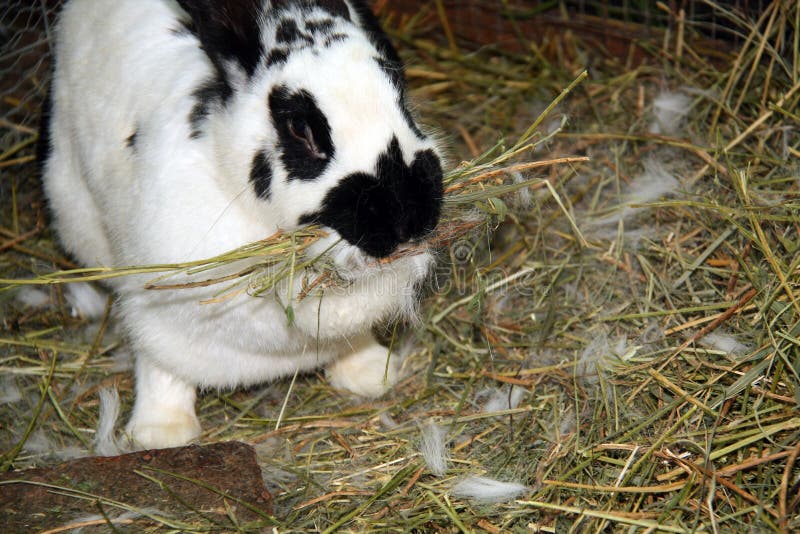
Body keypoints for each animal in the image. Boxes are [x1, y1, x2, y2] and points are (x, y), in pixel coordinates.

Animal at [41, 0, 444, 449]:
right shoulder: (154, 306)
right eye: (299, 128)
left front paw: (374, 374)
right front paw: (161, 433)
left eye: (399, 94)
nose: (408, 216)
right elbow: (159, 365)